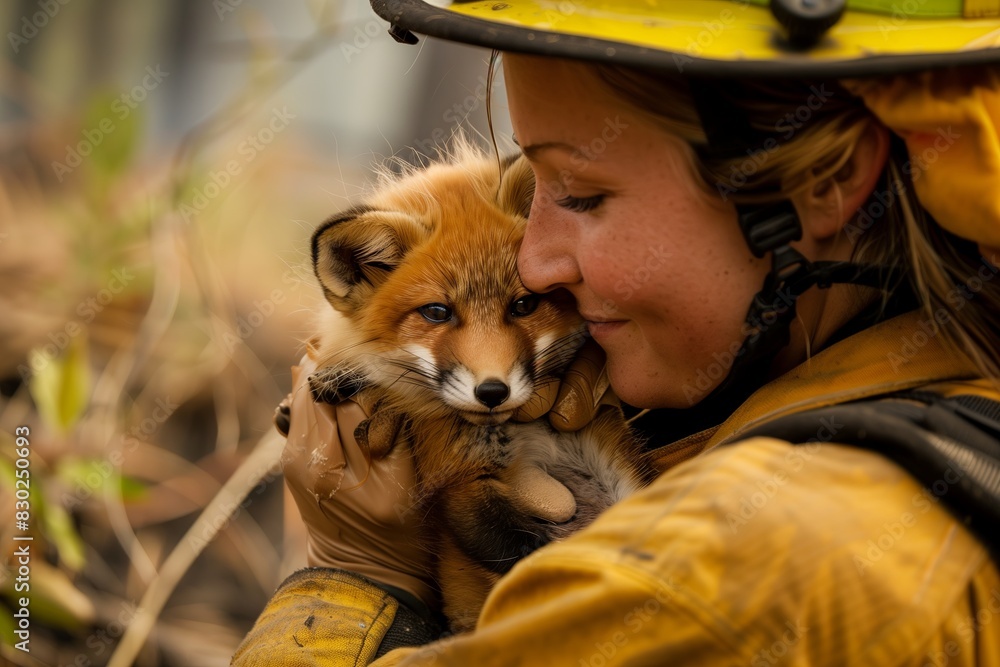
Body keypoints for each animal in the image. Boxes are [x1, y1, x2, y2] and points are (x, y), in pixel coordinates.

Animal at [304, 141, 653, 632]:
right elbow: (522, 551)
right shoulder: (458, 475)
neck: (521, 431)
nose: (492, 393)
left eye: (523, 305)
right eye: (437, 313)